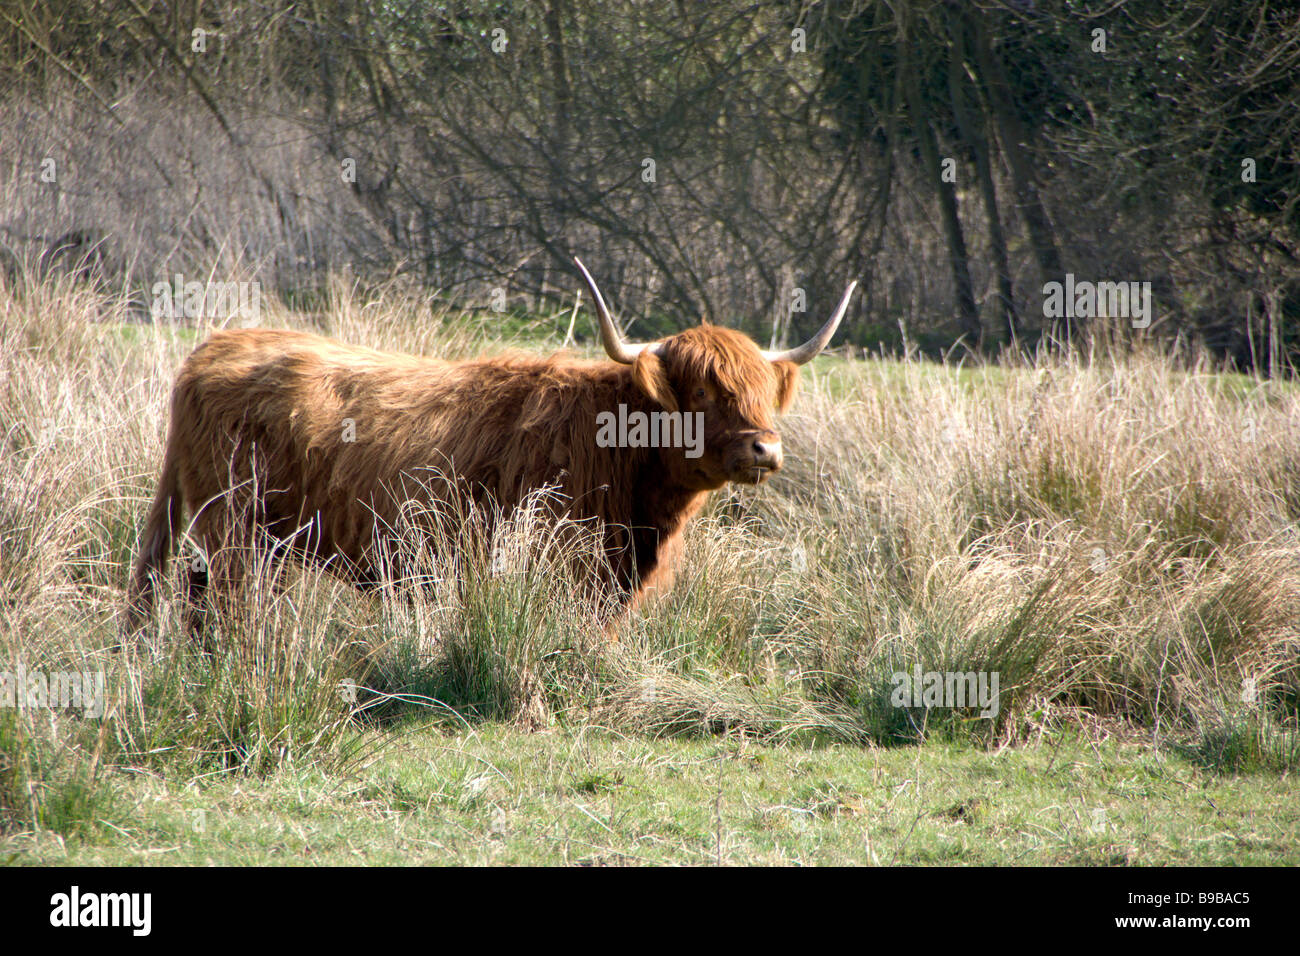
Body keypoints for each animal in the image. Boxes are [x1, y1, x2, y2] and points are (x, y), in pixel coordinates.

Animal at [124, 258, 856, 632]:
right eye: (703, 391)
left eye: (764, 390)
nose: (765, 451)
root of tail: (214, 347)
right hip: (233, 527)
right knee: (219, 601)